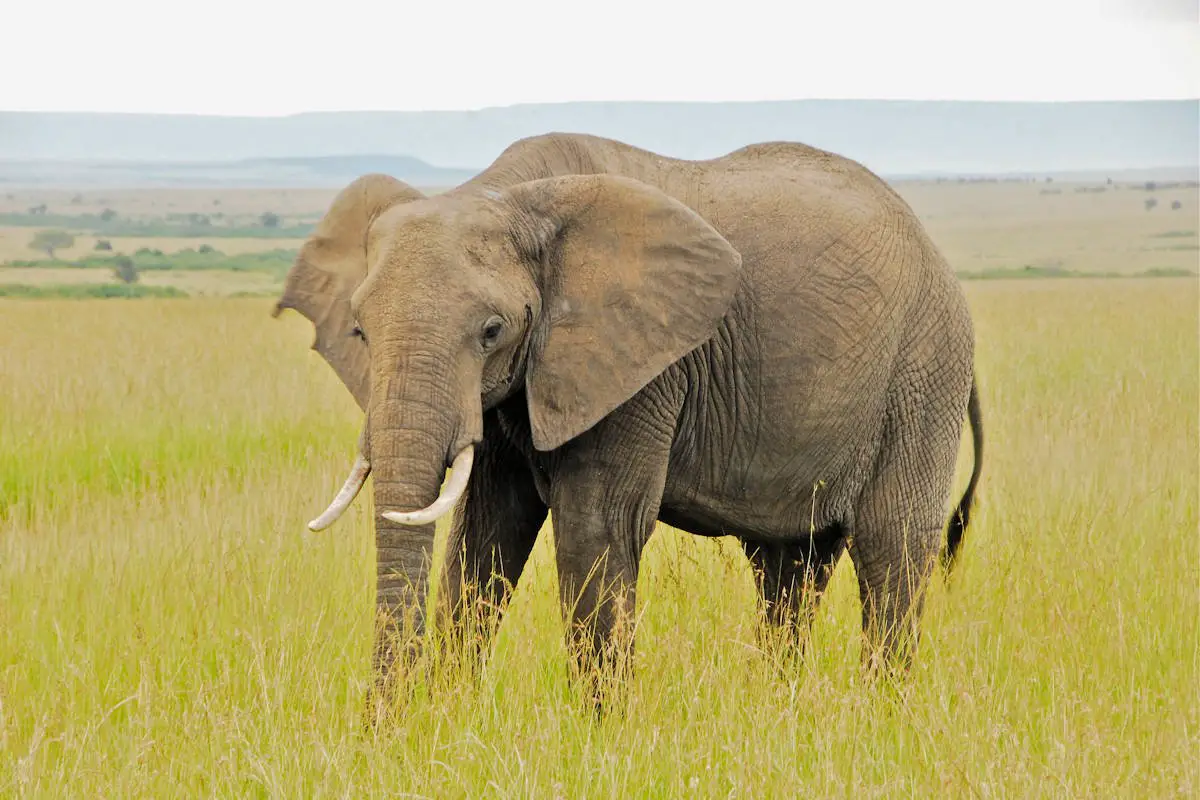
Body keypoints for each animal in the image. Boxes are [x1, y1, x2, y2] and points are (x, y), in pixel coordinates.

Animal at [272, 132, 984, 708]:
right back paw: (778, 712)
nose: (380, 723)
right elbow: (486, 531)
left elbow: (597, 527)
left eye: (492, 331)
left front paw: (599, 732)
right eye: (360, 332)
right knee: (788, 566)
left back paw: (879, 716)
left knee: (891, 549)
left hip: (923, 371)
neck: (506, 194)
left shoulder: (641, 367)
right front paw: (447, 720)